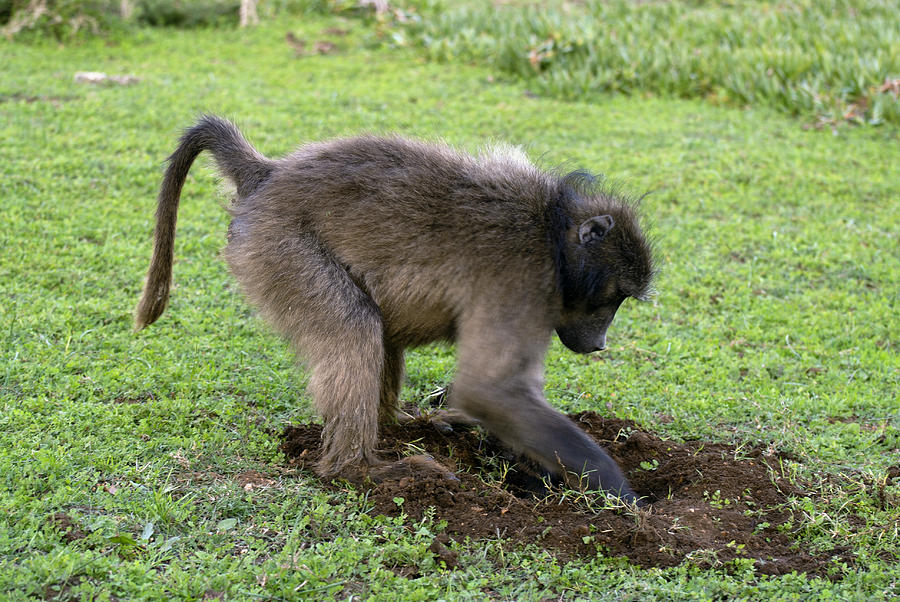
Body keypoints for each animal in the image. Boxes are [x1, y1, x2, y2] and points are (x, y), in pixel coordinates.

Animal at [136, 115, 656, 505]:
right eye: (613, 298)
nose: (600, 343)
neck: (552, 229)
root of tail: (267, 174)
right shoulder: (524, 276)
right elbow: (491, 391)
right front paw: (619, 491)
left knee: (377, 330)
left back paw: (405, 423)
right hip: (279, 248)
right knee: (355, 327)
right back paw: (360, 471)